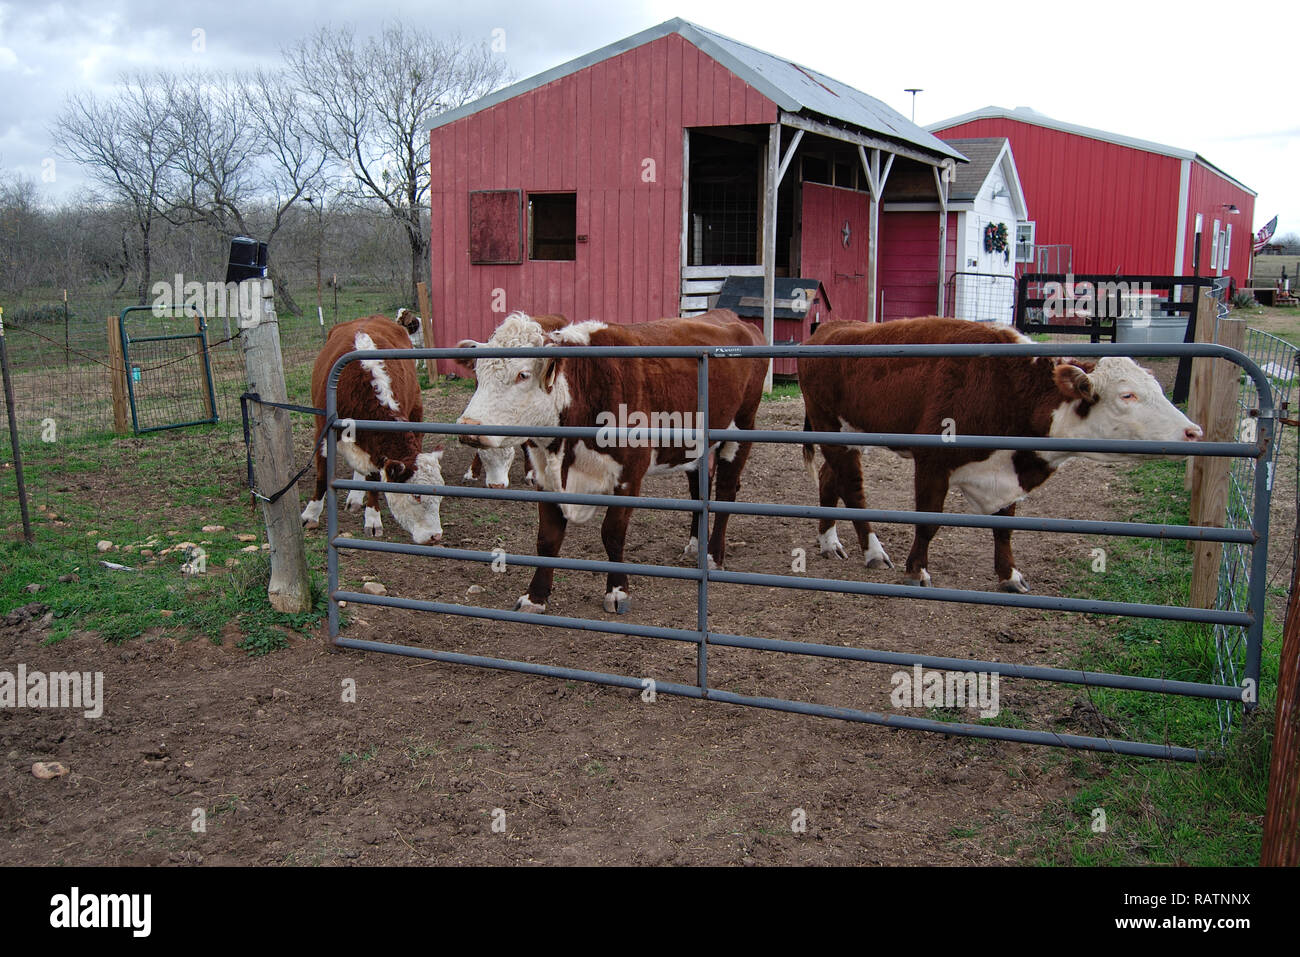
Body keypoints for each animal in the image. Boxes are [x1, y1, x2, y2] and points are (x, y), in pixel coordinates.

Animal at [300, 316, 445, 545]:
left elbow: (374, 481)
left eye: (440, 496)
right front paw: (311, 515)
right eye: (416, 495)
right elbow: (322, 476)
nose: (435, 536)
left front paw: (373, 519)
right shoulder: (322, 433)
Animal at [455, 309, 766, 615]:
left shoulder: (628, 476)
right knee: (699, 490)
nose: (469, 427)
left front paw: (617, 591)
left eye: (523, 374)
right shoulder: (545, 475)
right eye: (479, 373)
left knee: (726, 490)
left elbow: (612, 533)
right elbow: (547, 538)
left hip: (741, 427)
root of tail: (731, 317)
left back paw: (713, 555)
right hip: (694, 445)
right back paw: (694, 545)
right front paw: (536, 597)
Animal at [798, 317, 1203, 593]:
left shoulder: (1006, 472)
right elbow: (928, 523)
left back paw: (829, 542)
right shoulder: (932, 462)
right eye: (1127, 395)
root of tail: (831, 327)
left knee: (830, 479)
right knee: (853, 490)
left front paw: (1009, 575)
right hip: (833, 431)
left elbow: (1004, 529)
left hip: (847, 437)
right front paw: (917, 570)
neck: (1009, 389)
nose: (1193, 432)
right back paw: (872, 552)